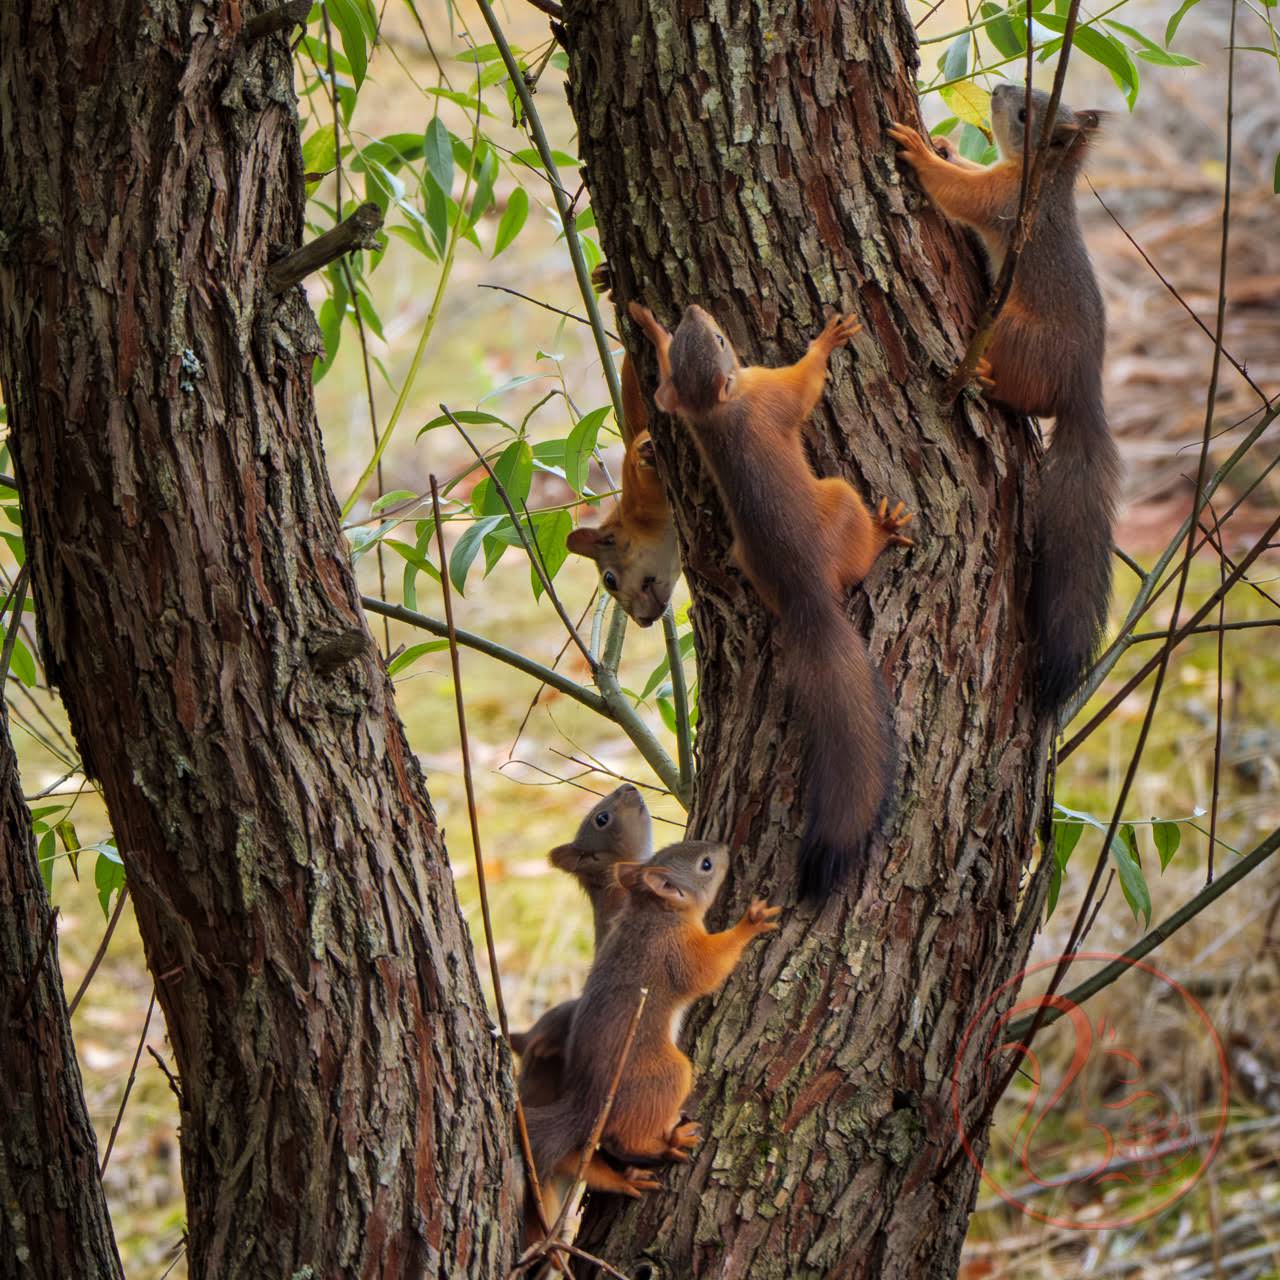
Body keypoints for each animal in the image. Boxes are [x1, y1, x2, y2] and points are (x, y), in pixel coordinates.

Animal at [524, 840, 780, 1211]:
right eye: (705, 865)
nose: (724, 847)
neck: (652, 912)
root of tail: (588, 1106)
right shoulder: (674, 952)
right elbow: (708, 969)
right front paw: (751, 922)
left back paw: (626, 1179)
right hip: (664, 1074)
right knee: (626, 1138)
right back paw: (670, 1141)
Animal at [629, 300, 912, 899]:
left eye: (699, 335)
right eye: (720, 339)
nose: (693, 307)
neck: (718, 410)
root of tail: (808, 594)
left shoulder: (684, 401)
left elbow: (664, 386)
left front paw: (648, 323)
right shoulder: (771, 393)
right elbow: (804, 385)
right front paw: (828, 339)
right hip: (841, 501)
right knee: (860, 541)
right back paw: (884, 531)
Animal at [889, 83, 1116, 712]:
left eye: (1022, 114)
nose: (997, 87)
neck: (1040, 179)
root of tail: (1083, 386)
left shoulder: (1004, 202)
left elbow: (960, 192)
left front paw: (920, 151)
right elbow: (970, 170)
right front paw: (945, 145)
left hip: (1012, 331)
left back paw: (985, 378)